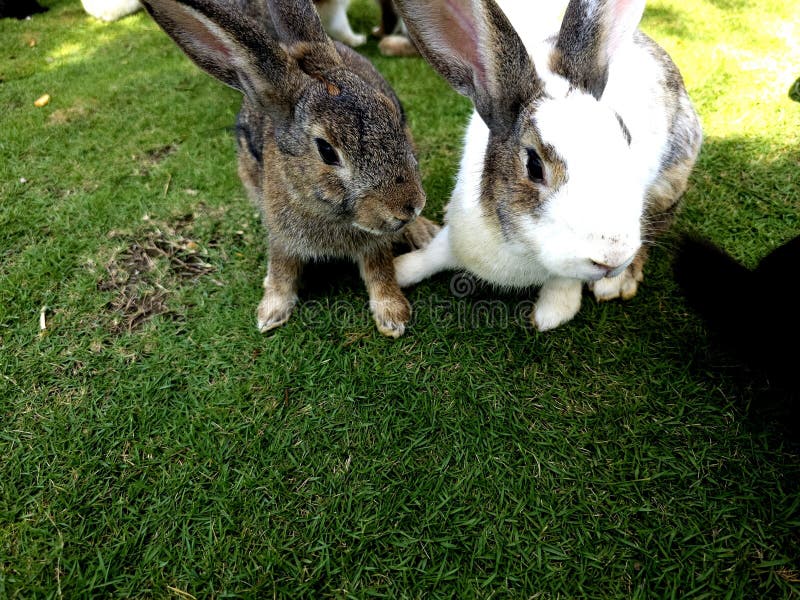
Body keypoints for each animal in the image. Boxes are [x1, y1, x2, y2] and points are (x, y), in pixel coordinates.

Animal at [141, 0, 439, 338]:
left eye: (392, 112)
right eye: (326, 151)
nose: (410, 206)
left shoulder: (373, 244)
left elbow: (381, 272)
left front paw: (392, 317)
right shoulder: (281, 237)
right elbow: (282, 270)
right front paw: (270, 313)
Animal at [392, 0, 703, 330]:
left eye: (627, 139)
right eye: (534, 166)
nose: (613, 257)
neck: (521, 247)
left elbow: (565, 281)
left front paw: (551, 313)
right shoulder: (458, 235)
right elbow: (436, 252)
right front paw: (402, 269)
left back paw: (615, 284)